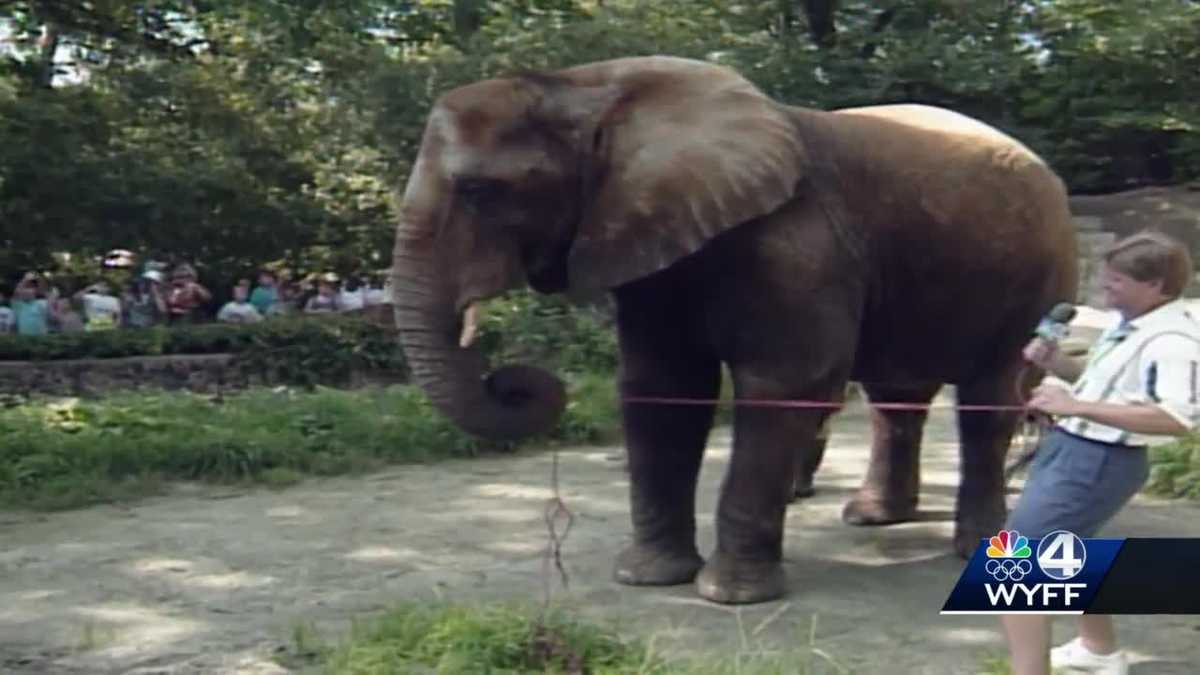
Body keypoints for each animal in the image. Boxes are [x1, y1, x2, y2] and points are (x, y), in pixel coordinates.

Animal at [390, 55, 1078, 605]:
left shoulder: (797, 241)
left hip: (1036, 273)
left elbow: (783, 384)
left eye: (479, 191)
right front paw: (649, 578)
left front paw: (729, 596)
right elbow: (660, 385)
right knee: (896, 397)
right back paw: (872, 520)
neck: (587, 87)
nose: (514, 380)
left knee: (992, 396)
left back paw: (977, 548)